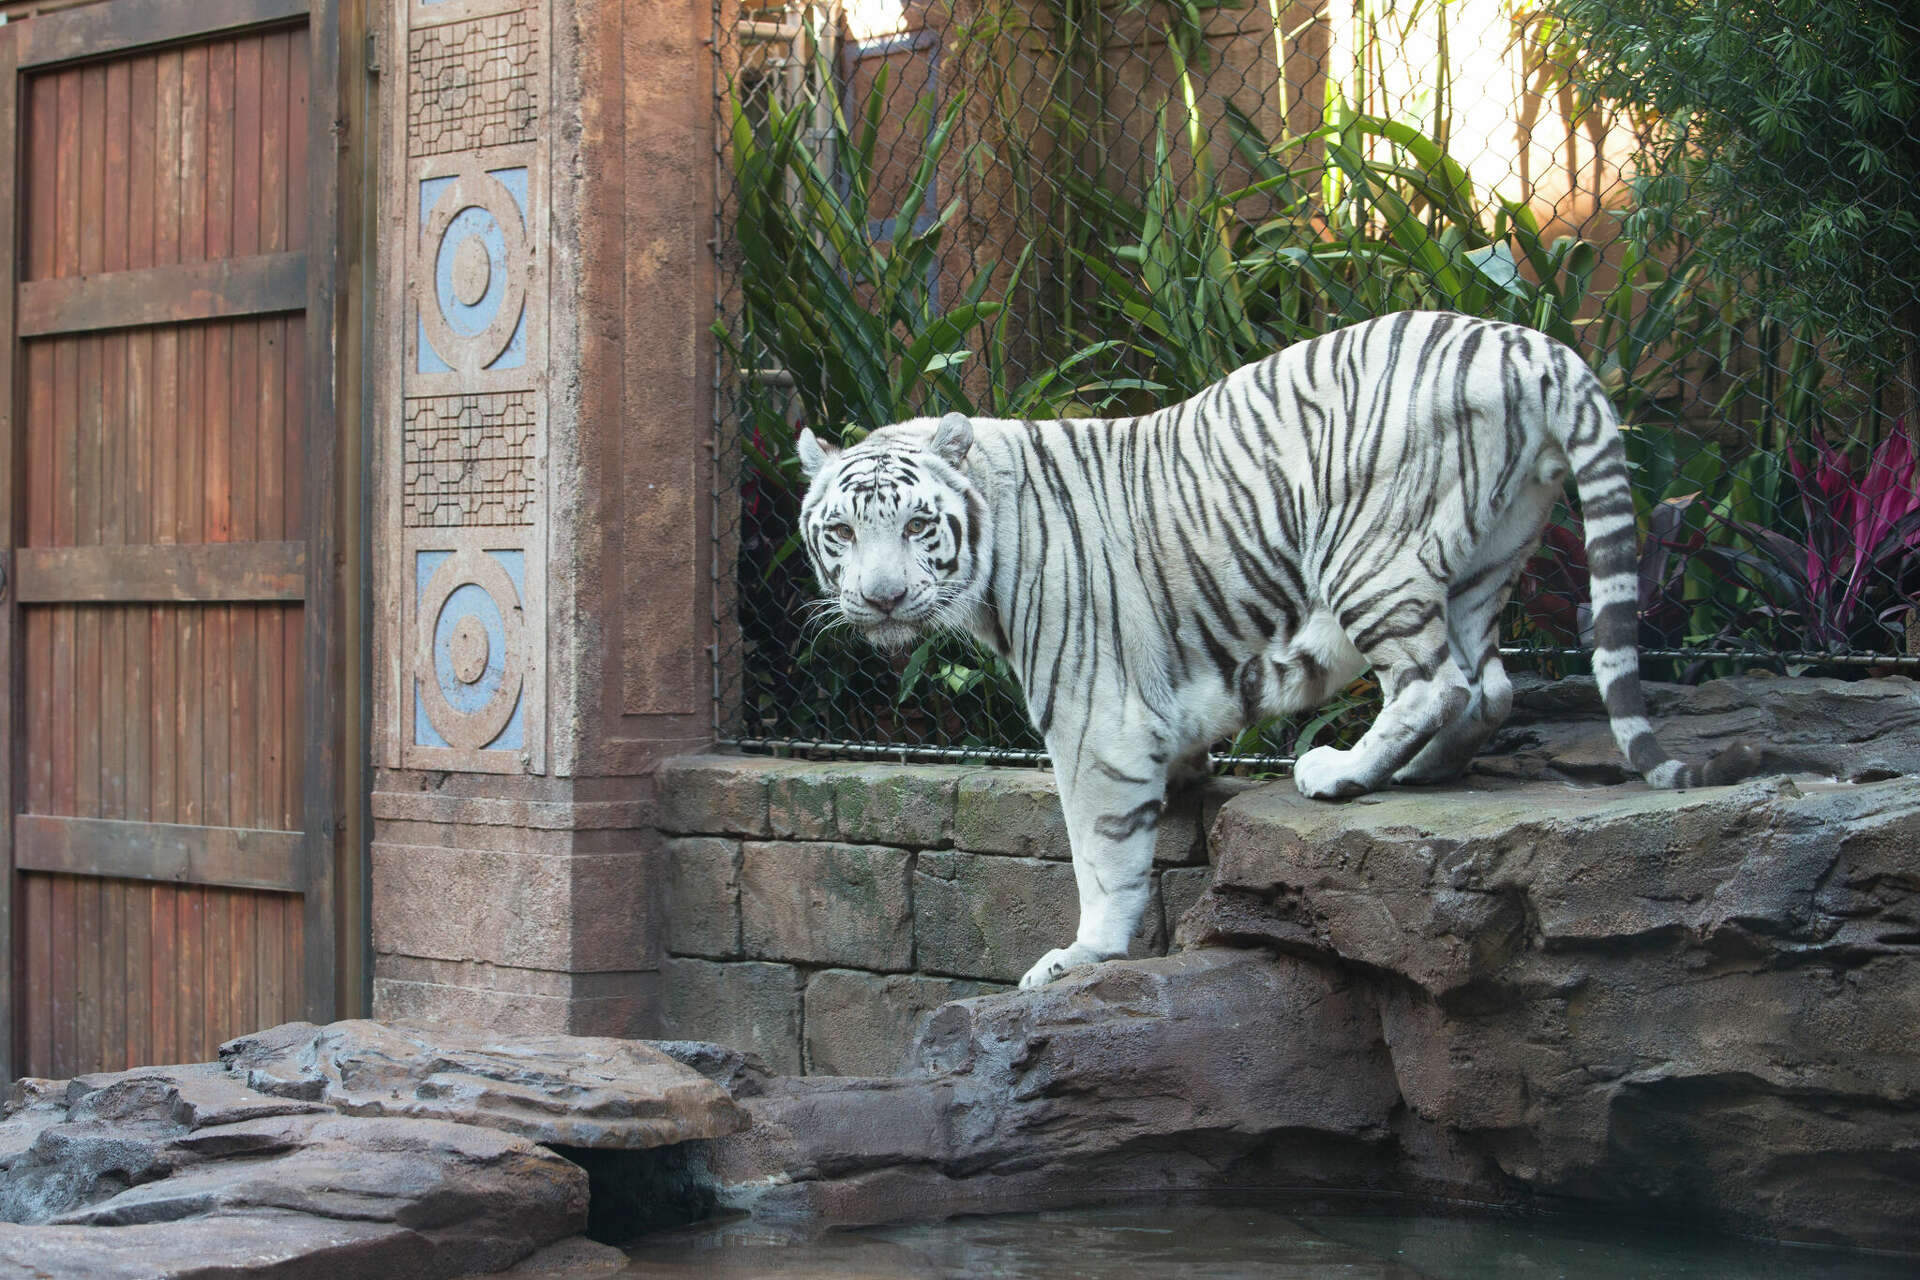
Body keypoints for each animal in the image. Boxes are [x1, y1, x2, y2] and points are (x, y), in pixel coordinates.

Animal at [794, 310, 1761, 989]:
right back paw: (1408, 771)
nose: (881, 598)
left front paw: (1082, 955)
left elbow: (1099, 850)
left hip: (1369, 552)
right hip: (1494, 549)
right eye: (840, 532)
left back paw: (1338, 771)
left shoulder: (1091, 718)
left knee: (1437, 681)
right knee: (1489, 687)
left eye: (918, 526)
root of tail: (1529, 342)